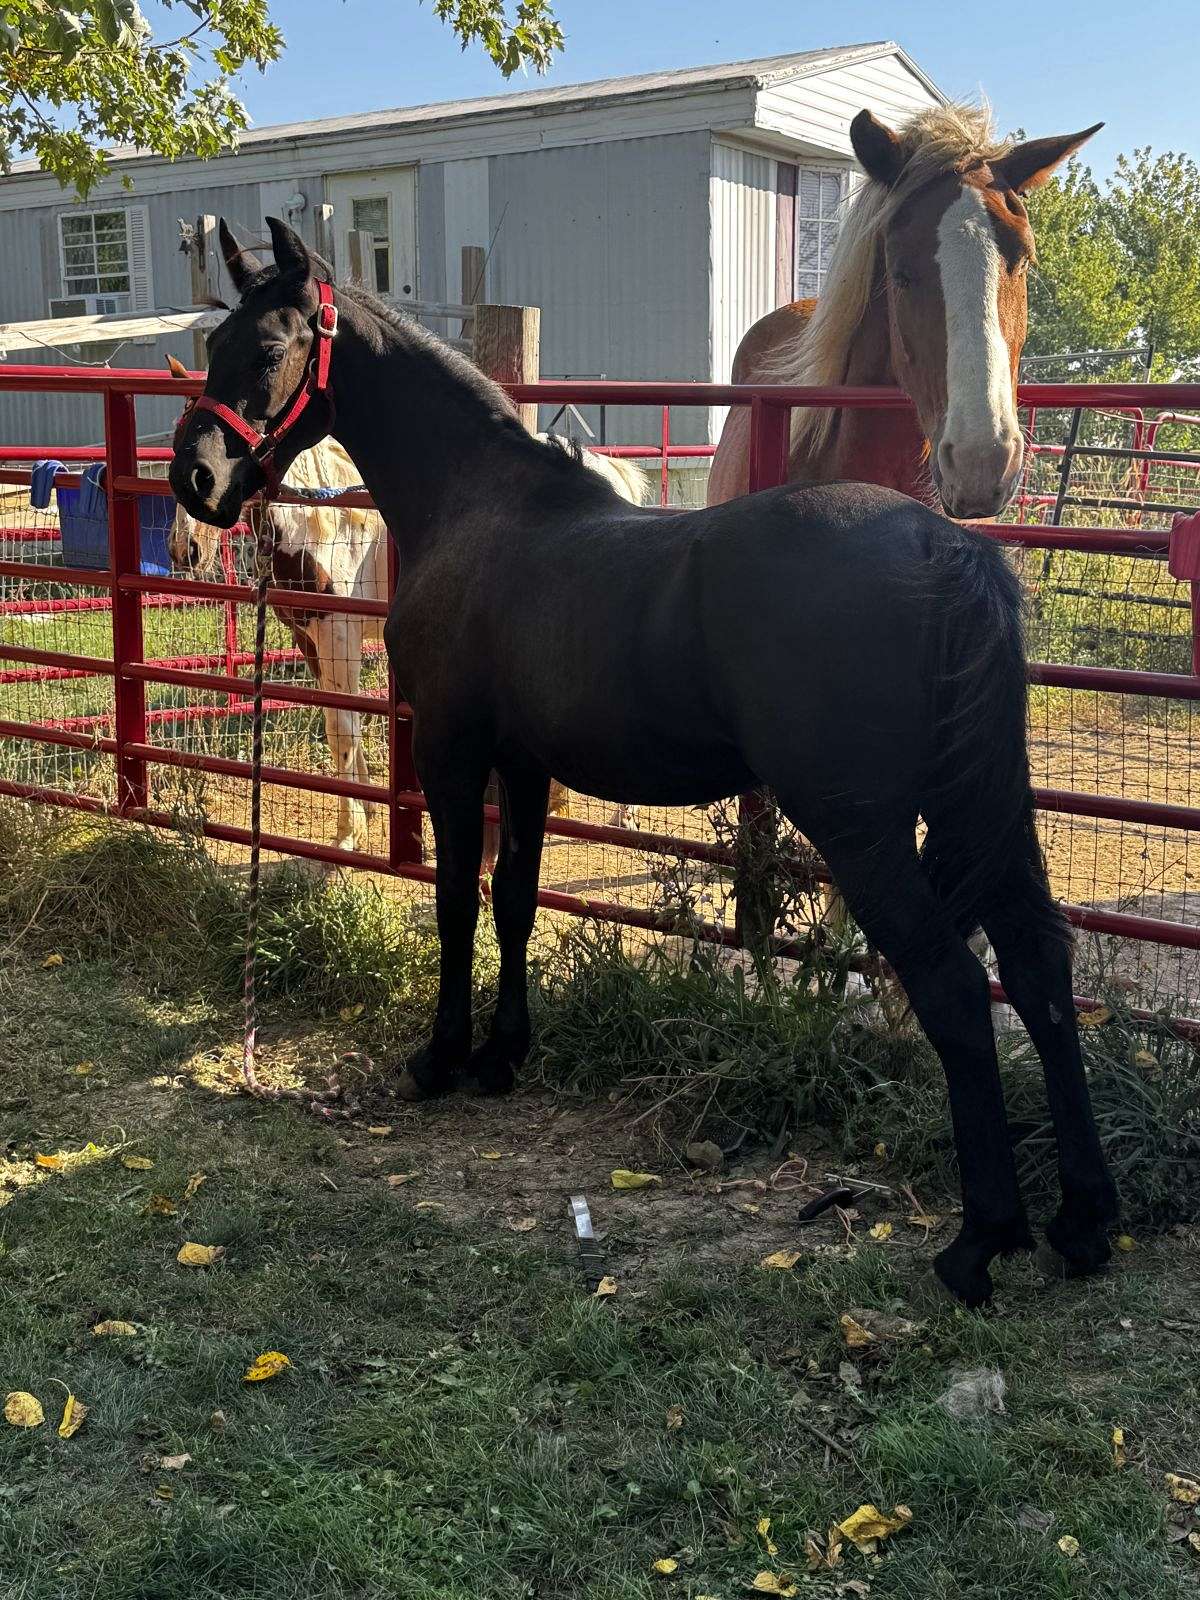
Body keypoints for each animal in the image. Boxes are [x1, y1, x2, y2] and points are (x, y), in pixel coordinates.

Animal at [168, 431, 647, 855]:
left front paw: (348, 834)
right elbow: (341, 721)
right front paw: (367, 812)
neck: (320, 522)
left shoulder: (338, 634)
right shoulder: (308, 638)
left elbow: (342, 731)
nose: (183, 549)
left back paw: (620, 818)